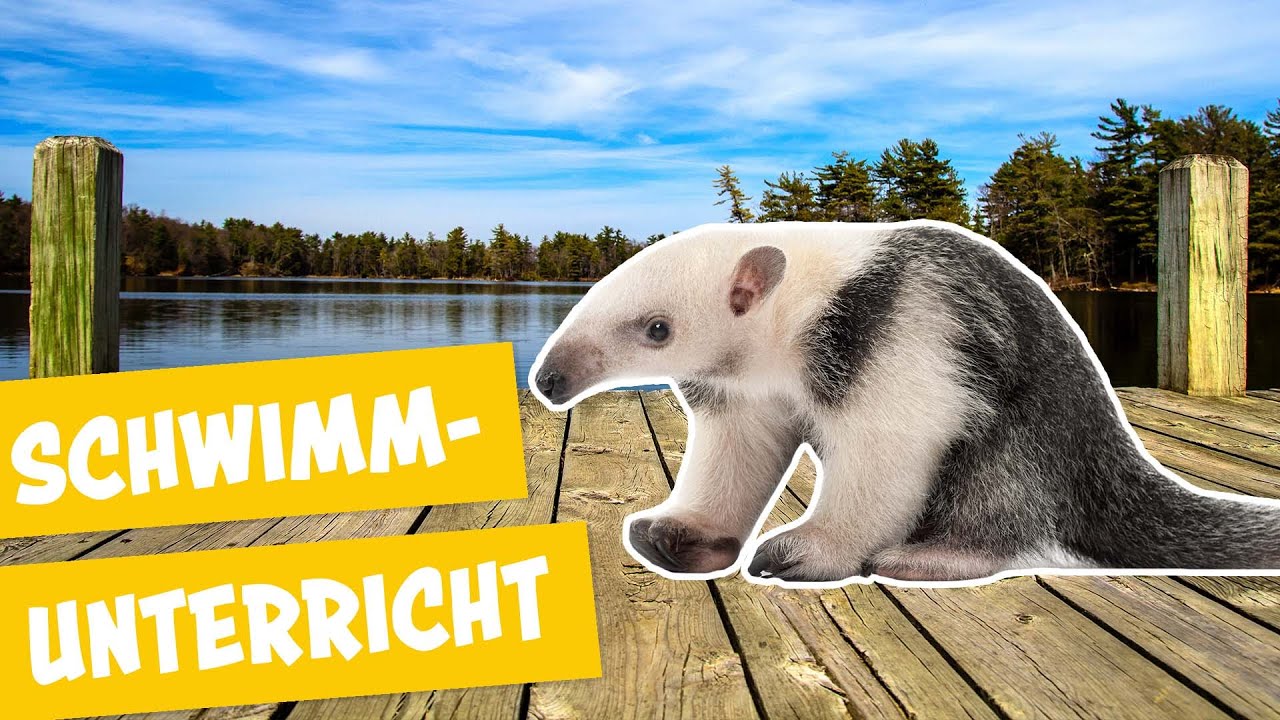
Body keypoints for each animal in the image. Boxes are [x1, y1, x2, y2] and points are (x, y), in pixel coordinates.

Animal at [529, 220, 1280, 585]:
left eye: (657, 330)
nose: (550, 382)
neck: (801, 297)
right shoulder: (745, 382)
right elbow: (741, 446)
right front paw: (677, 536)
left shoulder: (906, 329)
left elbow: (888, 443)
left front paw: (802, 553)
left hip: (1035, 429)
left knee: (1001, 475)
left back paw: (934, 557)